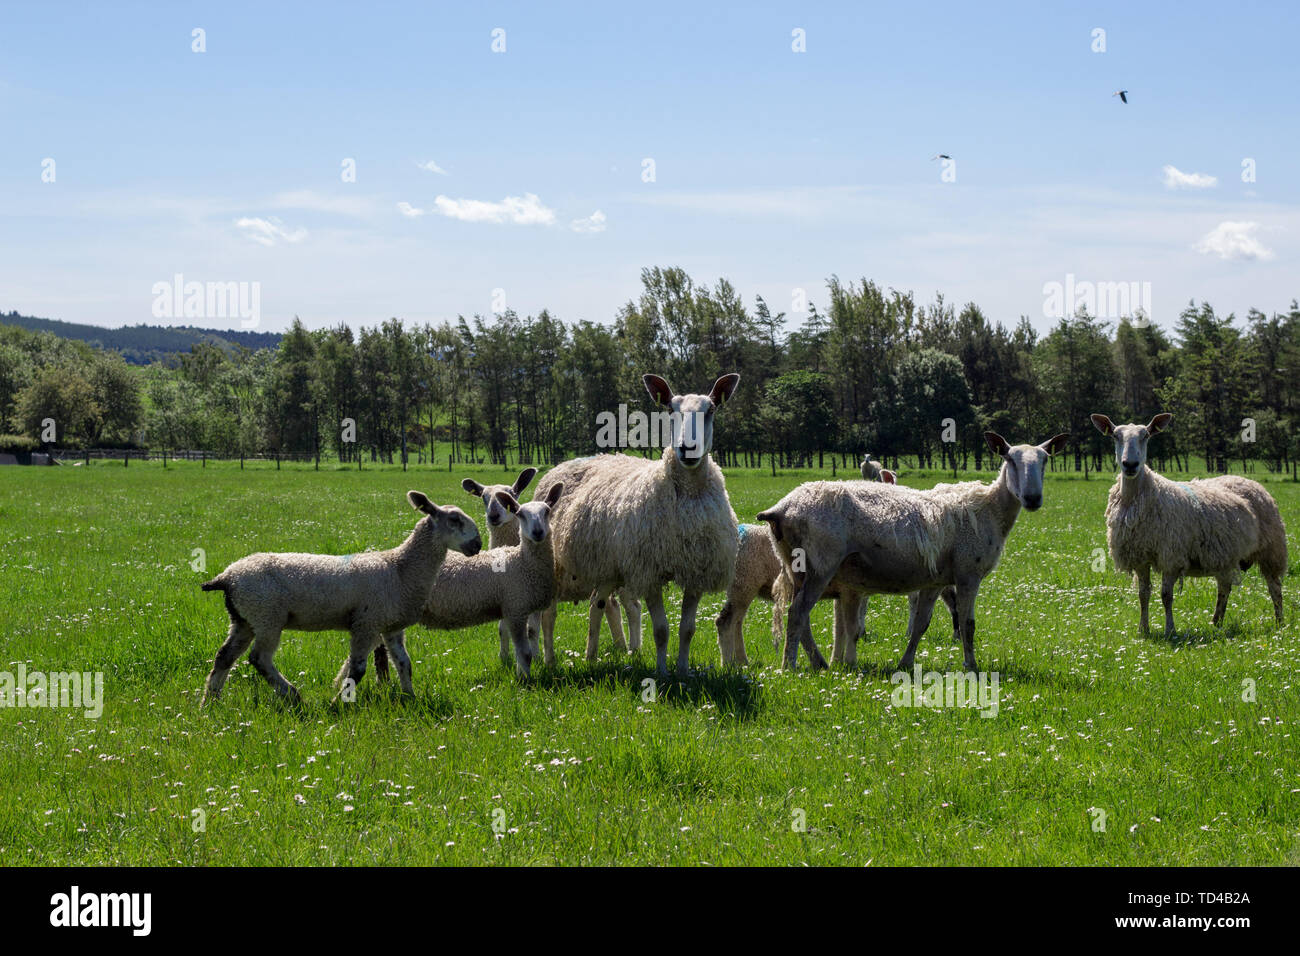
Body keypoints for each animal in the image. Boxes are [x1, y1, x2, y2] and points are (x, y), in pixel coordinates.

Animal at [200, 491, 482, 704]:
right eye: (454, 519)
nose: (477, 545)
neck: (400, 568)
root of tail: (227, 577)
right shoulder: (366, 624)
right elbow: (357, 670)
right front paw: (339, 702)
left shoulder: (391, 626)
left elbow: (404, 663)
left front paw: (410, 698)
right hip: (266, 615)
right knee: (259, 659)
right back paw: (292, 695)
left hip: (243, 619)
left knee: (224, 657)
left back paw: (210, 703)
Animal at [378, 483, 565, 681]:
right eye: (520, 514)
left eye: (547, 511)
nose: (538, 533)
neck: (522, 561)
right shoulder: (516, 608)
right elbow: (524, 653)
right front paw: (525, 681)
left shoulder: (514, 607)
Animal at [532, 373, 741, 677]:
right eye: (670, 409)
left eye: (711, 410)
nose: (687, 449)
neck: (687, 492)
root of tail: (561, 465)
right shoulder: (649, 571)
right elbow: (661, 630)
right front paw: (663, 673)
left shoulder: (696, 571)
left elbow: (687, 629)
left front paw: (683, 671)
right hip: (557, 564)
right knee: (549, 613)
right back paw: (549, 660)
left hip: (608, 566)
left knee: (597, 604)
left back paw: (591, 657)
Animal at [759, 431, 1068, 672]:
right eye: (1010, 459)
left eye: (1045, 460)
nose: (1032, 498)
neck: (991, 509)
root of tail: (782, 508)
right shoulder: (968, 573)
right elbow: (968, 624)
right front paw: (971, 666)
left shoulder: (936, 580)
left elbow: (921, 623)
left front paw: (905, 663)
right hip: (821, 563)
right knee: (798, 612)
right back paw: (790, 665)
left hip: (795, 566)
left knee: (800, 615)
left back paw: (819, 662)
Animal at [1090, 413, 1287, 636]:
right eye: (1115, 435)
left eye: (1146, 435)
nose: (1130, 464)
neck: (1137, 497)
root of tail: (1248, 480)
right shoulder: (1140, 556)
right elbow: (1143, 594)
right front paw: (1143, 630)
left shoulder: (1171, 556)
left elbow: (1166, 595)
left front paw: (1170, 630)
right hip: (1225, 555)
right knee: (1225, 587)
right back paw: (1216, 622)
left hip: (1272, 550)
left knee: (1275, 588)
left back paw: (1279, 622)